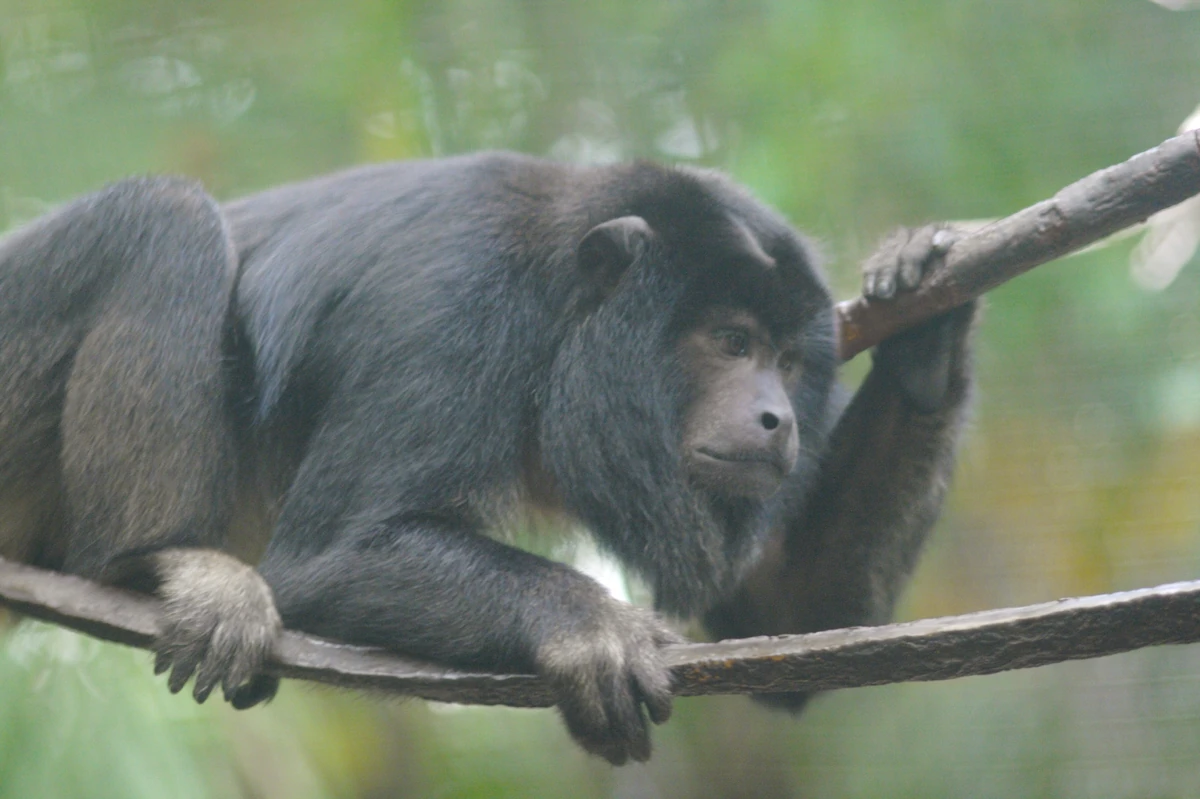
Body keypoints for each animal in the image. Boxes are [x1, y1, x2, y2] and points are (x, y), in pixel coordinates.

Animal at [0, 152, 975, 765]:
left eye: (792, 361)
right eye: (732, 342)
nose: (778, 419)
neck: (562, 306)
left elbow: (788, 610)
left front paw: (927, 322)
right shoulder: (454, 303)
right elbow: (332, 554)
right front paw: (592, 624)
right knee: (162, 219)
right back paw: (165, 562)